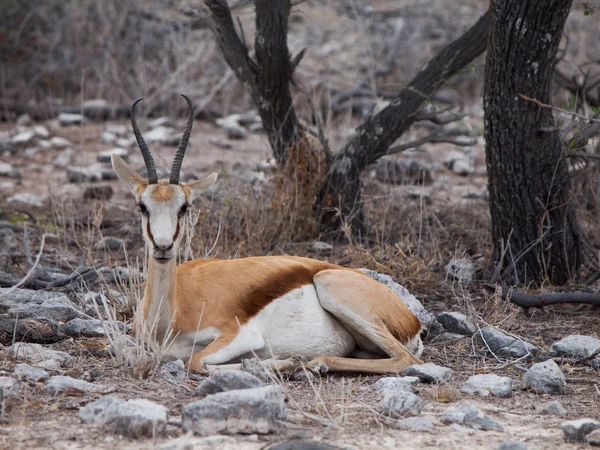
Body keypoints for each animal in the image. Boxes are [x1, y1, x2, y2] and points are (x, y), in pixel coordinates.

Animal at [111, 96, 422, 376]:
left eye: (184, 207)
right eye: (142, 206)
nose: (163, 247)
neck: (169, 319)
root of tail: (412, 320)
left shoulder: (241, 335)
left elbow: (194, 361)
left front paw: (285, 362)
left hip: (332, 288)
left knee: (407, 359)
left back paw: (313, 363)